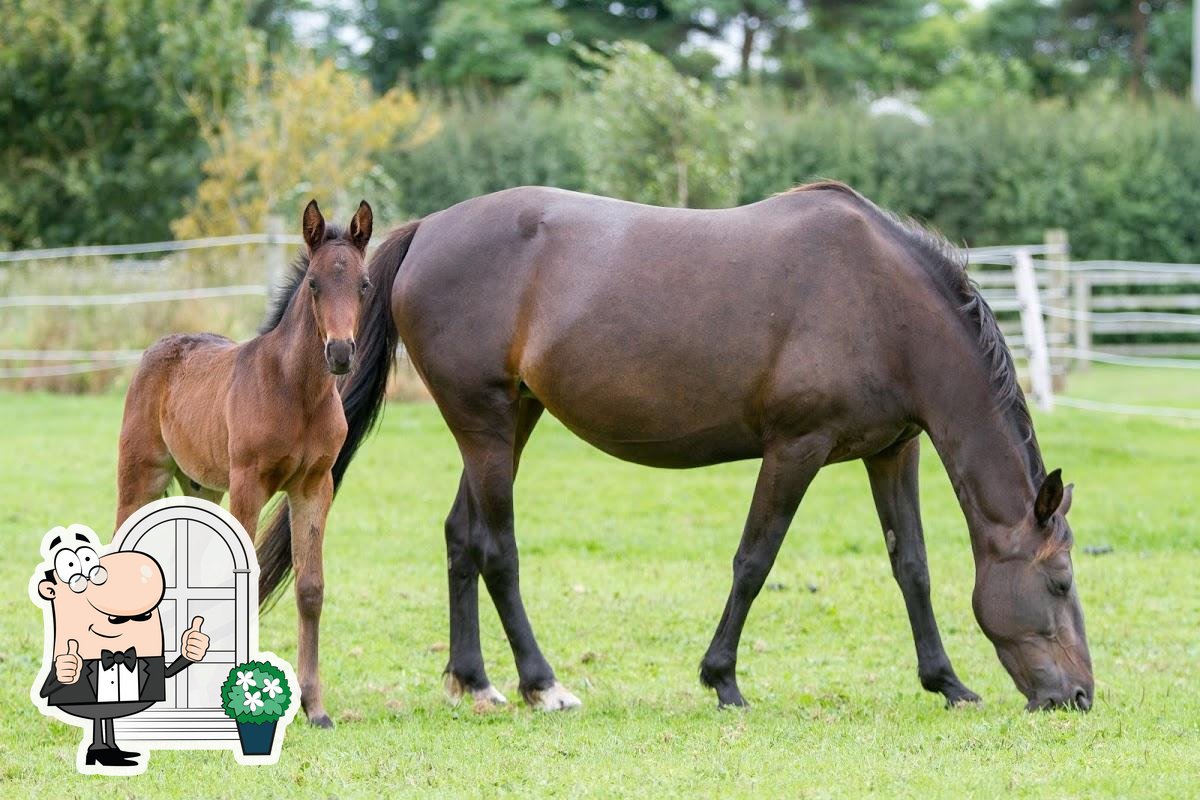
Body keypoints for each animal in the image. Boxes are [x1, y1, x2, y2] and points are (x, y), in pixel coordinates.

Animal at [115, 199, 374, 727]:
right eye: (313, 284)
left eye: (363, 284)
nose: (340, 353)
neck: (296, 393)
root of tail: (160, 347)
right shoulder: (249, 484)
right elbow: (246, 583)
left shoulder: (313, 486)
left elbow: (310, 588)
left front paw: (315, 708)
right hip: (141, 474)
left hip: (203, 488)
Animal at [258, 181, 1094, 713]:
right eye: (1059, 584)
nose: (1079, 696)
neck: (884, 304)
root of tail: (427, 229)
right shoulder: (796, 449)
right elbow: (754, 561)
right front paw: (722, 679)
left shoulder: (892, 451)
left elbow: (911, 568)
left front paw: (947, 683)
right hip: (487, 423)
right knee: (496, 547)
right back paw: (542, 684)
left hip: (508, 421)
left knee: (462, 536)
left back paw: (477, 681)